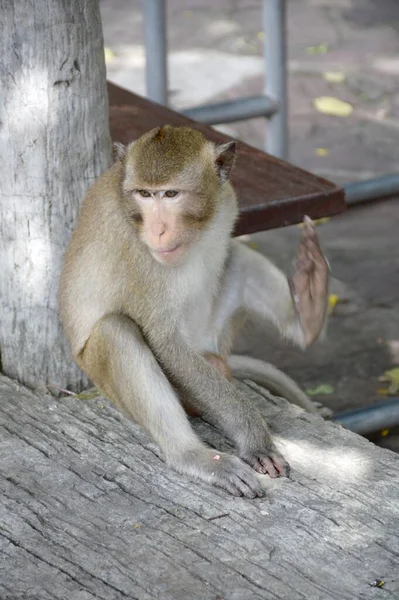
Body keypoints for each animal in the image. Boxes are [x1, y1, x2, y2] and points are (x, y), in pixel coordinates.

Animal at [58, 125, 328, 496]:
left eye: (170, 194)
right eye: (144, 194)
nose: (156, 230)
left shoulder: (227, 200)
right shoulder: (136, 249)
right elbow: (164, 342)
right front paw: (255, 438)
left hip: (212, 337)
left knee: (239, 258)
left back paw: (310, 317)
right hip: (110, 383)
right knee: (117, 331)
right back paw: (193, 456)